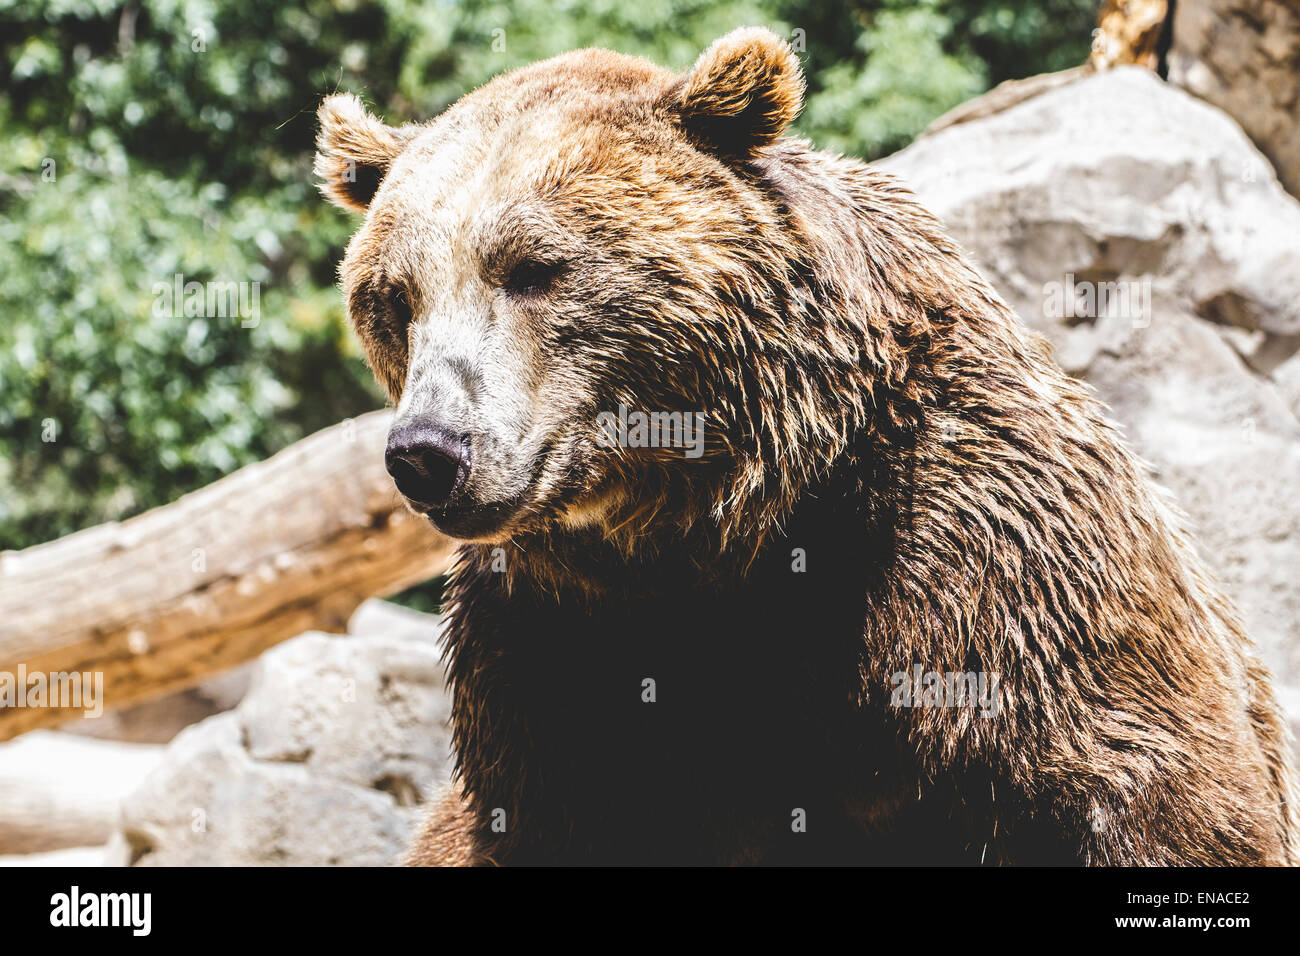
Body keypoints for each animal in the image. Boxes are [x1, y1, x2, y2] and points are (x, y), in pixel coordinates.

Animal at [315, 27, 1299, 865]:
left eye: (531, 268)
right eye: (394, 295)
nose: (429, 449)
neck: (713, 528)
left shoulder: (985, 566)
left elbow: (1155, 794)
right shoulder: (550, 646)